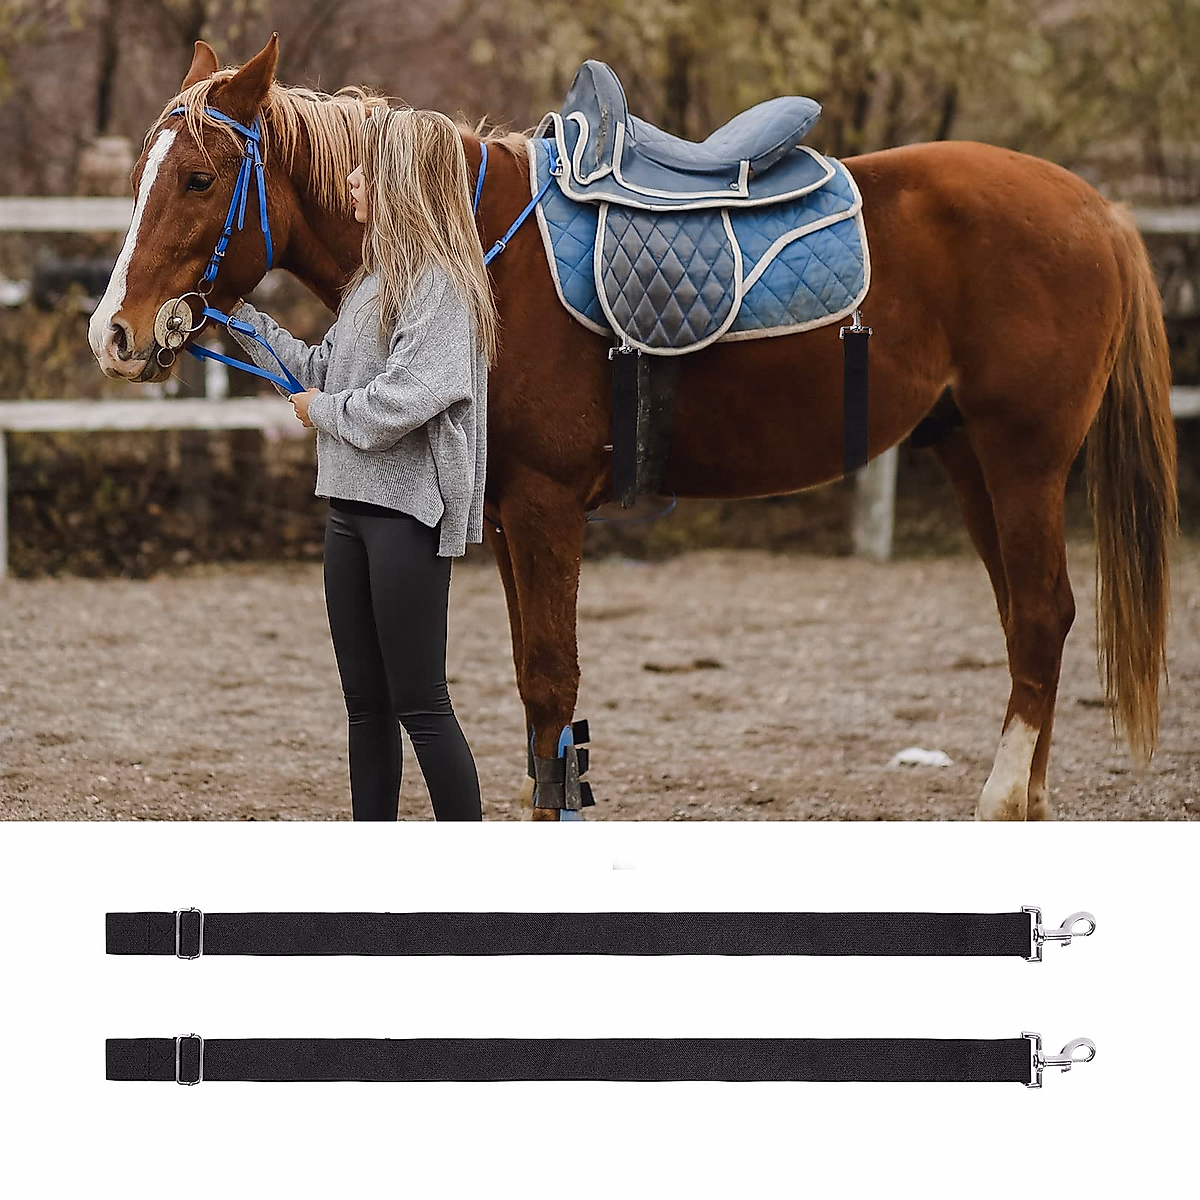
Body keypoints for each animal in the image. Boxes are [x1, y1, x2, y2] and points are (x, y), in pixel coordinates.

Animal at [89, 34, 1177, 820]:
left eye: (197, 179)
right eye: (141, 171)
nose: (116, 332)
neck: (469, 249)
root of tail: (1099, 208)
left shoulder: (545, 508)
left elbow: (549, 683)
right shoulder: (510, 517)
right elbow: (538, 701)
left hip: (1023, 457)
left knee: (1039, 616)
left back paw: (1002, 802)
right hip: (967, 455)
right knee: (1032, 620)